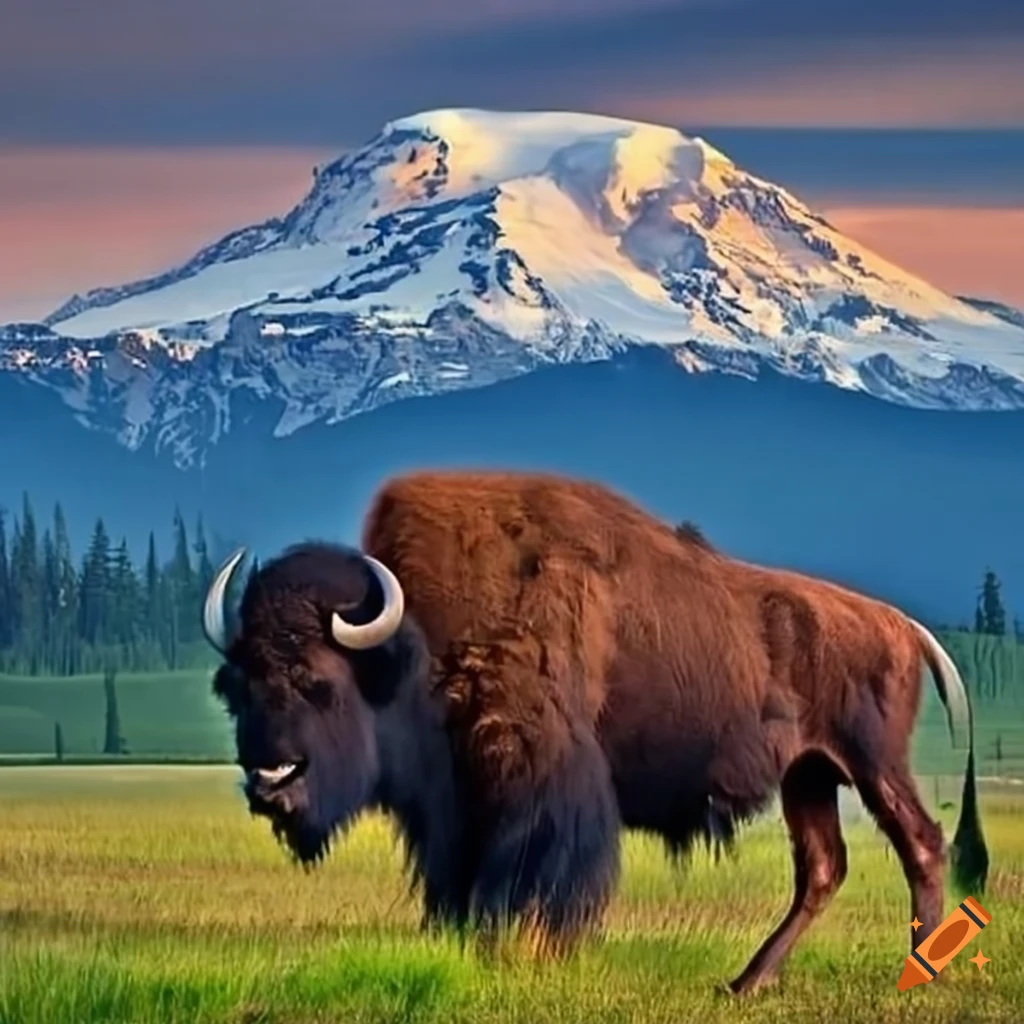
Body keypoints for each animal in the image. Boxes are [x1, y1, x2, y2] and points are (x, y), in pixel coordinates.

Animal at [201, 469, 988, 994]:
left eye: (319, 684)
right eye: (235, 687)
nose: (269, 782)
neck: (412, 643)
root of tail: (901, 624)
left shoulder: (540, 787)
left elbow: (535, 875)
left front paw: (530, 954)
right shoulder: (454, 805)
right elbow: (459, 880)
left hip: (872, 762)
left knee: (919, 843)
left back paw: (917, 972)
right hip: (809, 776)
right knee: (823, 867)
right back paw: (745, 983)